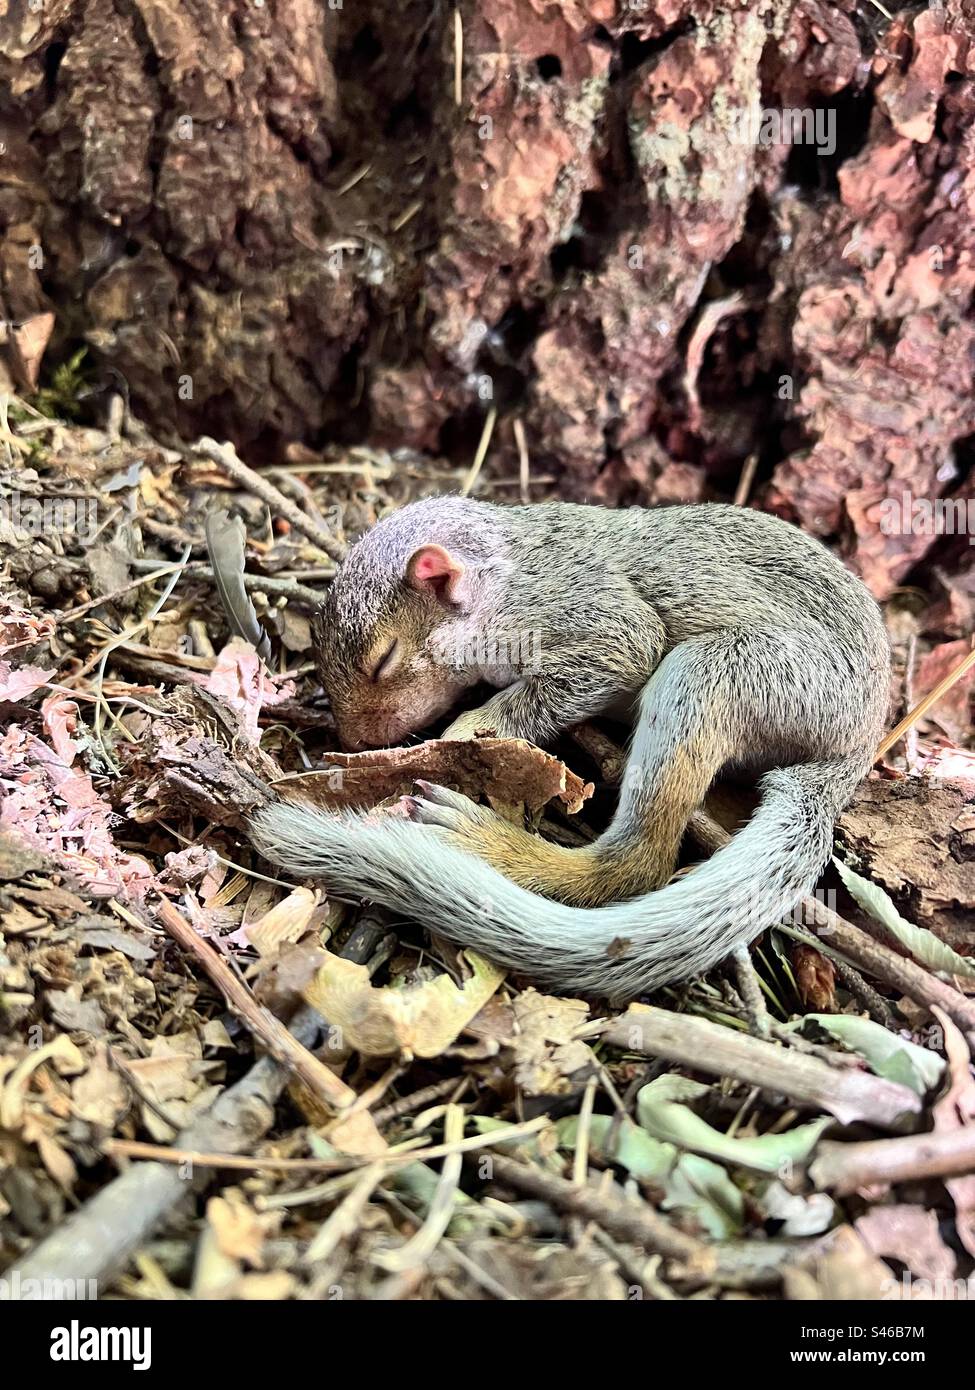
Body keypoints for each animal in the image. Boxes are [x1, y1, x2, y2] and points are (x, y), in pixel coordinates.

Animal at [248, 496, 891, 999]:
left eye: (384, 659)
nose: (352, 740)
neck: (505, 573)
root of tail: (854, 748)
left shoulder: (579, 613)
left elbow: (618, 651)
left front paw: (465, 730)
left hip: (722, 675)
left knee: (638, 863)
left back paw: (494, 841)